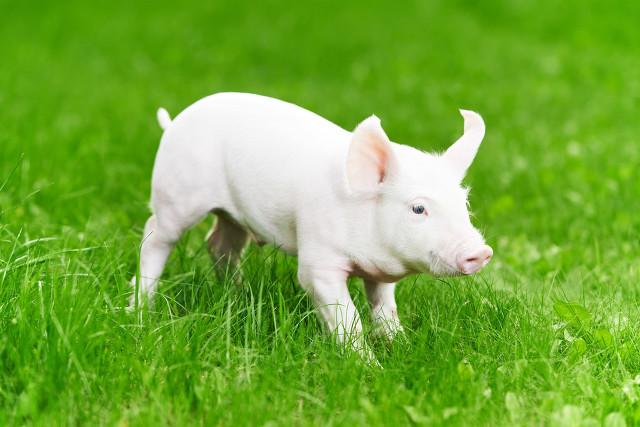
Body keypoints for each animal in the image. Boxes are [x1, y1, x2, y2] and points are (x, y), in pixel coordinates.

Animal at [130, 92, 492, 358]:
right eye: (418, 208)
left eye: (464, 204)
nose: (482, 252)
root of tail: (175, 122)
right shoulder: (318, 262)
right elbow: (347, 317)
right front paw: (369, 365)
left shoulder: (379, 272)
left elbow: (385, 307)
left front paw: (399, 344)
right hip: (175, 195)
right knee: (155, 237)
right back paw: (139, 308)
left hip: (232, 216)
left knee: (219, 243)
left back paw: (238, 293)